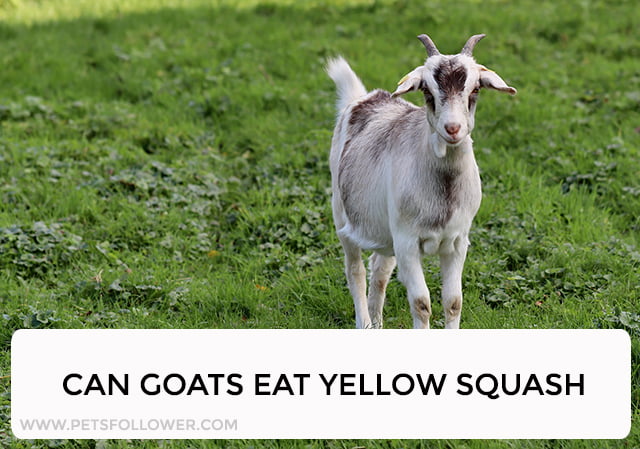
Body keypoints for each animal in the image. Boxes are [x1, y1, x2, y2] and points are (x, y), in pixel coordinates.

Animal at [327, 34, 516, 329]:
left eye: (475, 90)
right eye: (427, 92)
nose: (453, 129)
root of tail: (363, 98)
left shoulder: (457, 242)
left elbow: (453, 302)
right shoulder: (407, 242)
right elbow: (421, 303)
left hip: (386, 232)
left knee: (379, 270)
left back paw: (377, 323)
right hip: (342, 214)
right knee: (355, 271)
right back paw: (365, 322)